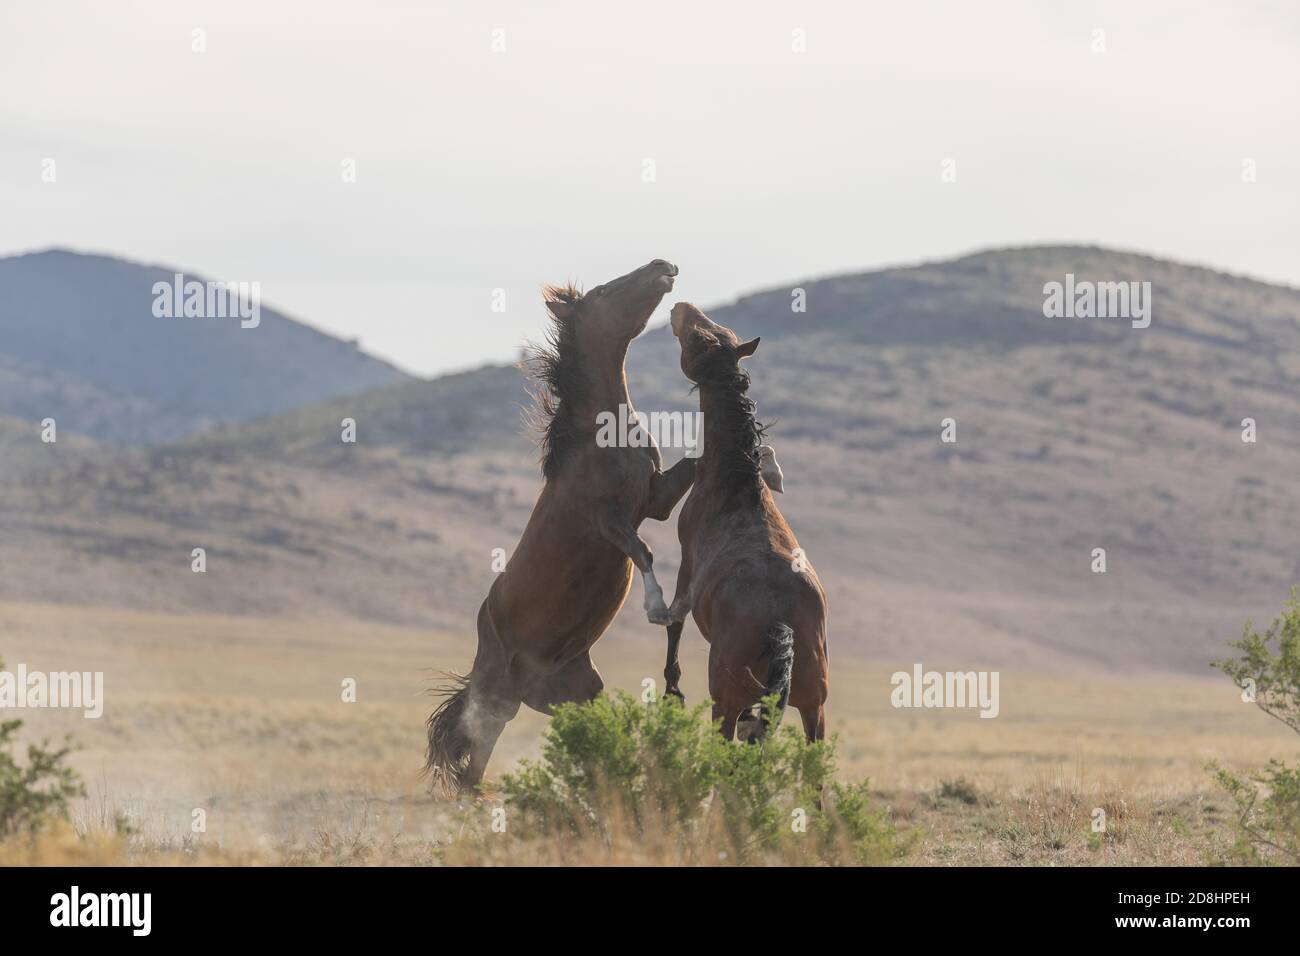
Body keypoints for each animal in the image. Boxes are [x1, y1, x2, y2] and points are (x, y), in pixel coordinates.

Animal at [425, 259, 696, 794]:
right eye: (606, 291)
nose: (664, 266)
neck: (600, 434)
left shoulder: (654, 500)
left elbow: (693, 467)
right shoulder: (607, 518)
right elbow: (643, 552)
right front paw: (658, 608)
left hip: (575, 694)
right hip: (498, 699)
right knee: (473, 761)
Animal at [662, 302, 829, 743]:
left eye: (697, 338)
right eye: (723, 330)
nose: (680, 307)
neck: (737, 484)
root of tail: (780, 622)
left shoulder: (687, 562)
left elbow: (674, 618)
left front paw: (671, 688)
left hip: (724, 704)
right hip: (814, 708)